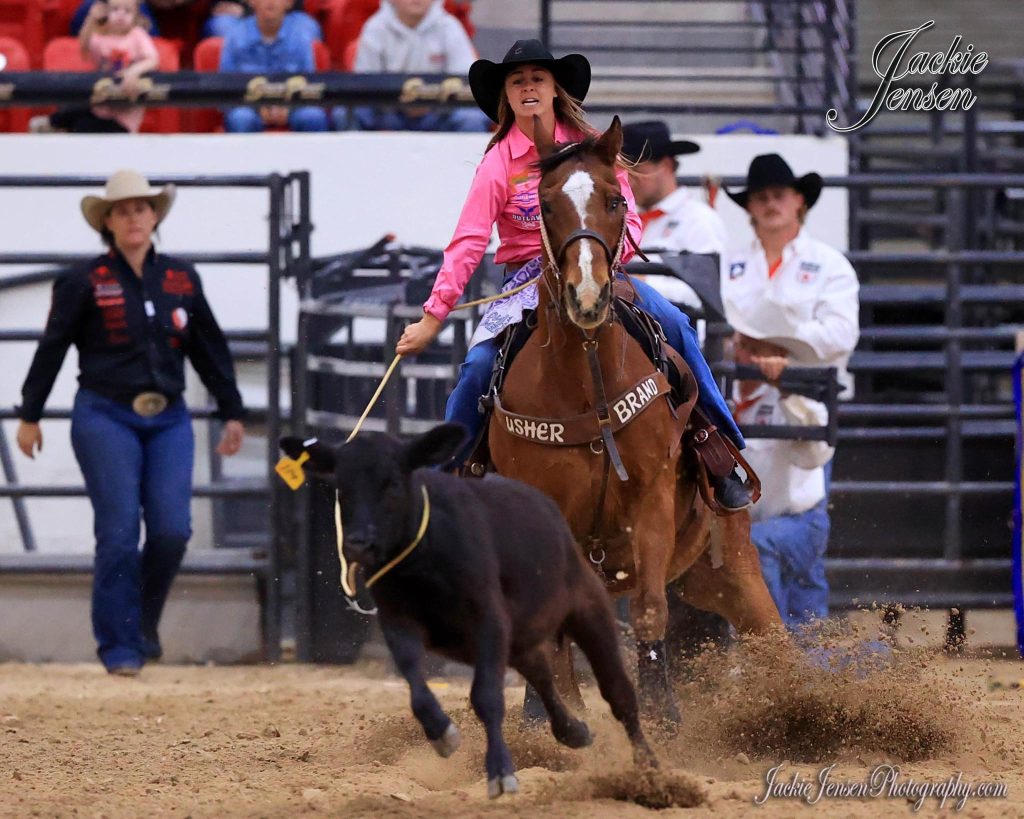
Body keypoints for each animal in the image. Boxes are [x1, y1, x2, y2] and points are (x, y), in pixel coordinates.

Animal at [486, 115, 782, 725]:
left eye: (616, 199)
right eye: (544, 204)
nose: (587, 294)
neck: (589, 388)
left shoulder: (652, 496)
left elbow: (647, 609)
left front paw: (662, 714)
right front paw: (546, 719)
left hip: (731, 559)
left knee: (772, 637)